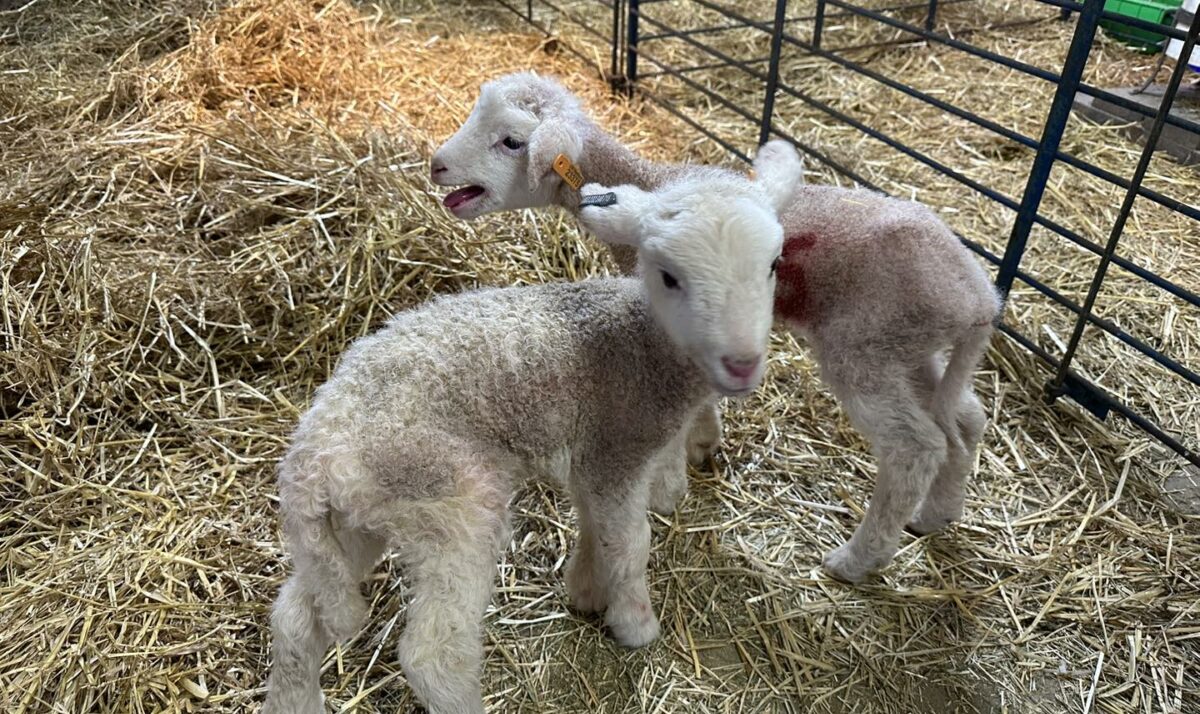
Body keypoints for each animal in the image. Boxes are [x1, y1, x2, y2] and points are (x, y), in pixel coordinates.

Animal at [262, 168, 789, 714]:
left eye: (774, 264)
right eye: (669, 276)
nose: (742, 363)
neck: (642, 341)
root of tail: (313, 453)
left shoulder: (591, 459)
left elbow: (594, 528)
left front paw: (585, 590)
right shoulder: (616, 449)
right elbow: (629, 544)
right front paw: (635, 624)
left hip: (351, 523)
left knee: (296, 618)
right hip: (448, 507)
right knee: (433, 653)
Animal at [432, 73, 1001, 584]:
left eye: (512, 141)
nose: (437, 165)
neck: (647, 180)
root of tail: (977, 296)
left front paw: (689, 458)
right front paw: (705, 443)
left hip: (863, 349)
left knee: (914, 448)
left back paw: (858, 559)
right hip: (909, 349)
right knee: (966, 419)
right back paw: (937, 514)